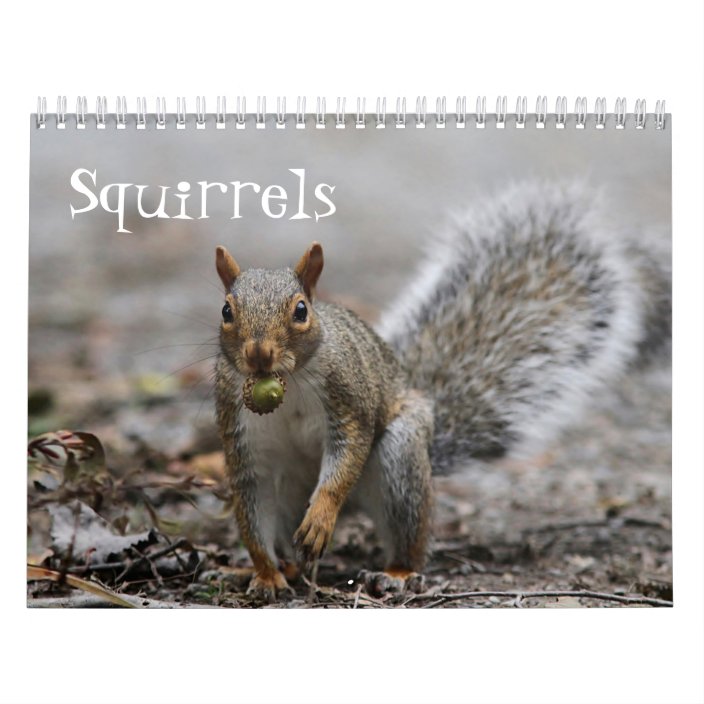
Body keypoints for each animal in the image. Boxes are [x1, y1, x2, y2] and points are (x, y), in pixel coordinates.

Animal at [213, 182, 671, 600]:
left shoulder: (349, 396)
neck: (289, 385)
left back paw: (395, 573)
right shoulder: (241, 435)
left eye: (301, 311)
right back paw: (286, 567)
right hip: (289, 491)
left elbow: (349, 451)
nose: (259, 354)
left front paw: (322, 515)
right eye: (226, 311)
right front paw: (265, 574)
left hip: (401, 457)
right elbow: (251, 509)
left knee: (410, 538)